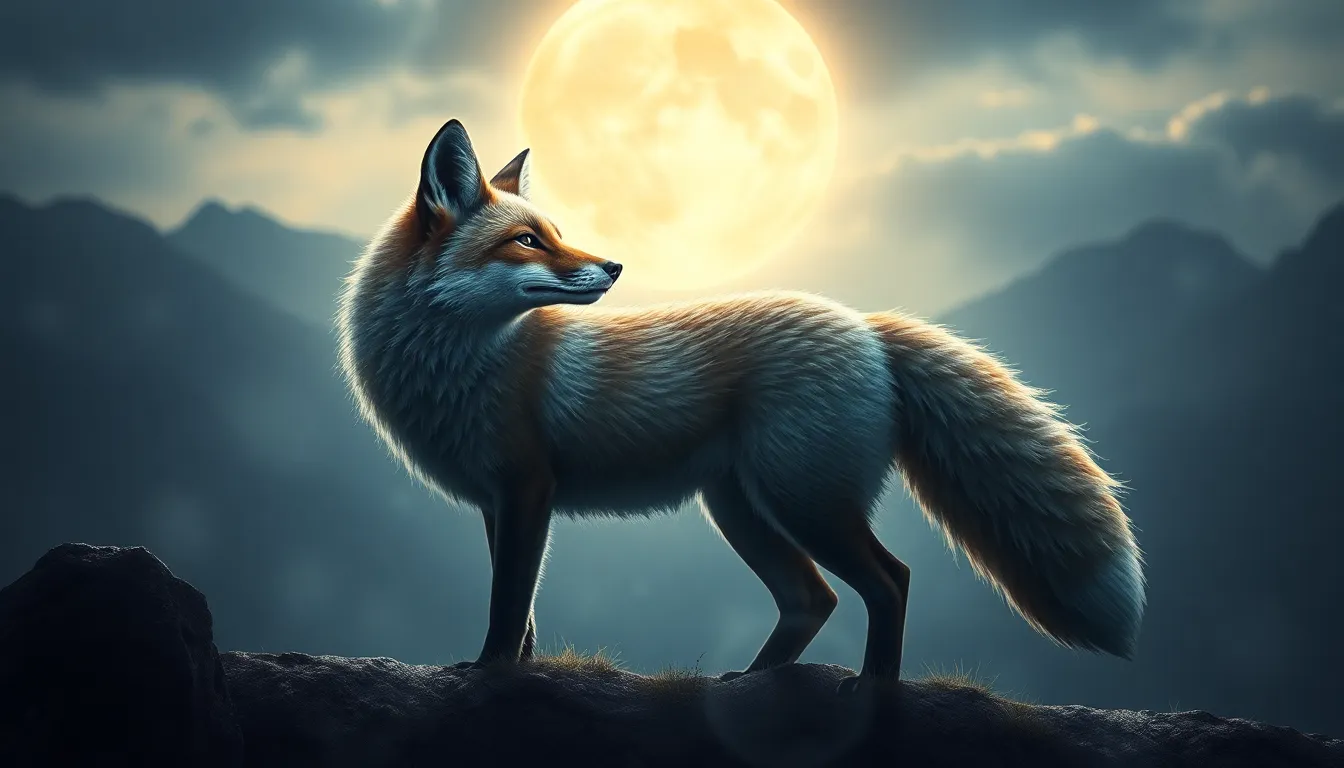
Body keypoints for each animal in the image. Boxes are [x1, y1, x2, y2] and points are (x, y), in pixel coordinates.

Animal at [335, 119, 1146, 692]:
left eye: (555, 236)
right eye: (529, 241)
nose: (616, 266)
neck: (468, 365)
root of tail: (866, 325)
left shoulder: (529, 489)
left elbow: (508, 606)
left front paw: (492, 675)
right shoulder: (496, 501)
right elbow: (522, 609)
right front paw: (511, 669)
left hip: (804, 500)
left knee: (890, 581)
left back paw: (874, 691)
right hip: (743, 507)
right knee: (814, 599)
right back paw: (751, 684)